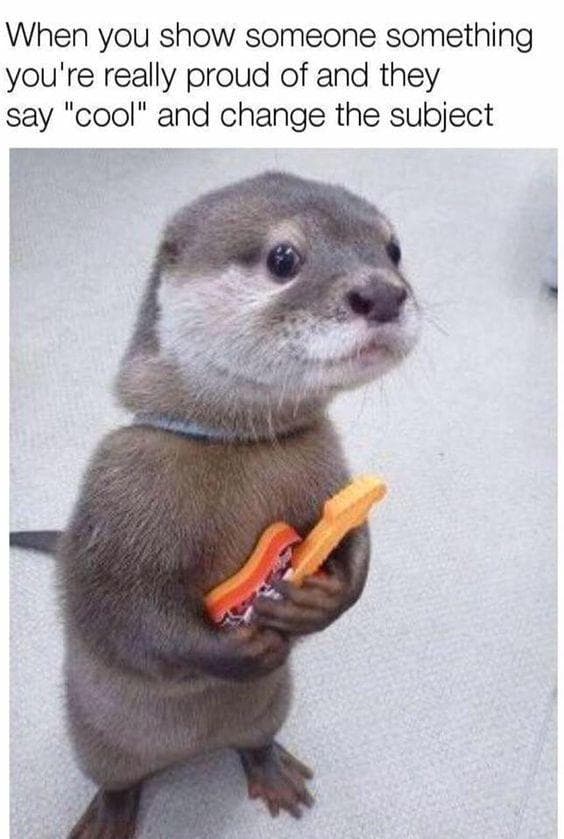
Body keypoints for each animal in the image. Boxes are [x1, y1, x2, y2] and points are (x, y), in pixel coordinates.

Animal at [11, 171, 420, 837]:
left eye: (393, 249)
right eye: (284, 258)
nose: (383, 292)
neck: (233, 442)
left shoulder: (330, 468)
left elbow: (354, 538)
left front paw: (325, 598)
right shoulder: (110, 505)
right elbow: (123, 615)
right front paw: (237, 647)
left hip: (272, 706)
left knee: (252, 740)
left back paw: (272, 771)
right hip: (95, 740)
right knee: (118, 779)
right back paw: (110, 816)